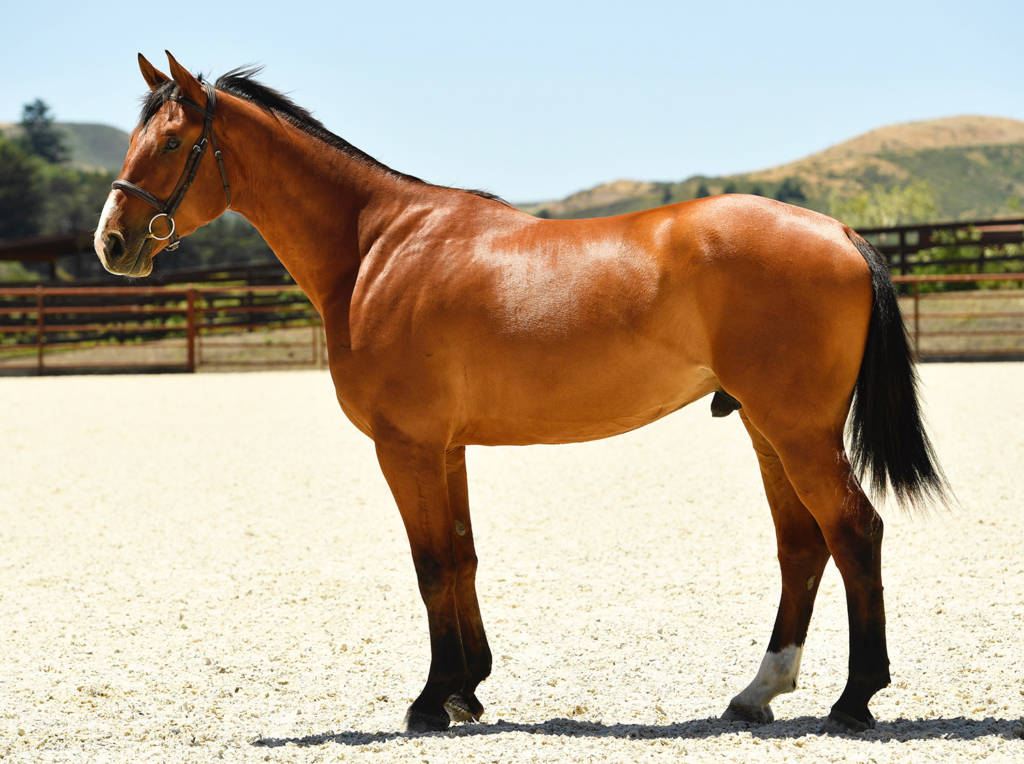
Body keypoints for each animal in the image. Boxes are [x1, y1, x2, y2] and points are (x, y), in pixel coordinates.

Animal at [94, 52, 948, 734]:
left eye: (171, 142)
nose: (112, 241)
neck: (377, 247)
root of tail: (838, 232)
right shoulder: (446, 449)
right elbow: (462, 558)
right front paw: (466, 688)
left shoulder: (405, 447)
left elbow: (431, 564)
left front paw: (429, 701)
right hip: (769, 429)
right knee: (802, 545)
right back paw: (757, 693)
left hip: (797, 430)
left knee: (854, 531)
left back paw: (854, 700)